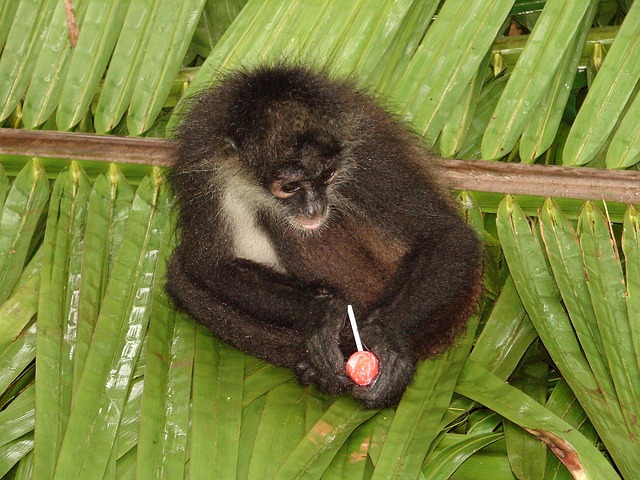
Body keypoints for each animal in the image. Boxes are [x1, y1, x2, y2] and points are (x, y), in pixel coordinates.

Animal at [165, 64, 483, 408]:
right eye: (290, 187)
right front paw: (320, 313)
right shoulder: (201, 154)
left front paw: (385, 336)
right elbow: (209, 264)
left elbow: (448, 236)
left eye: (328, 176)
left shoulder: (368, 149)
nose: (315, 207)